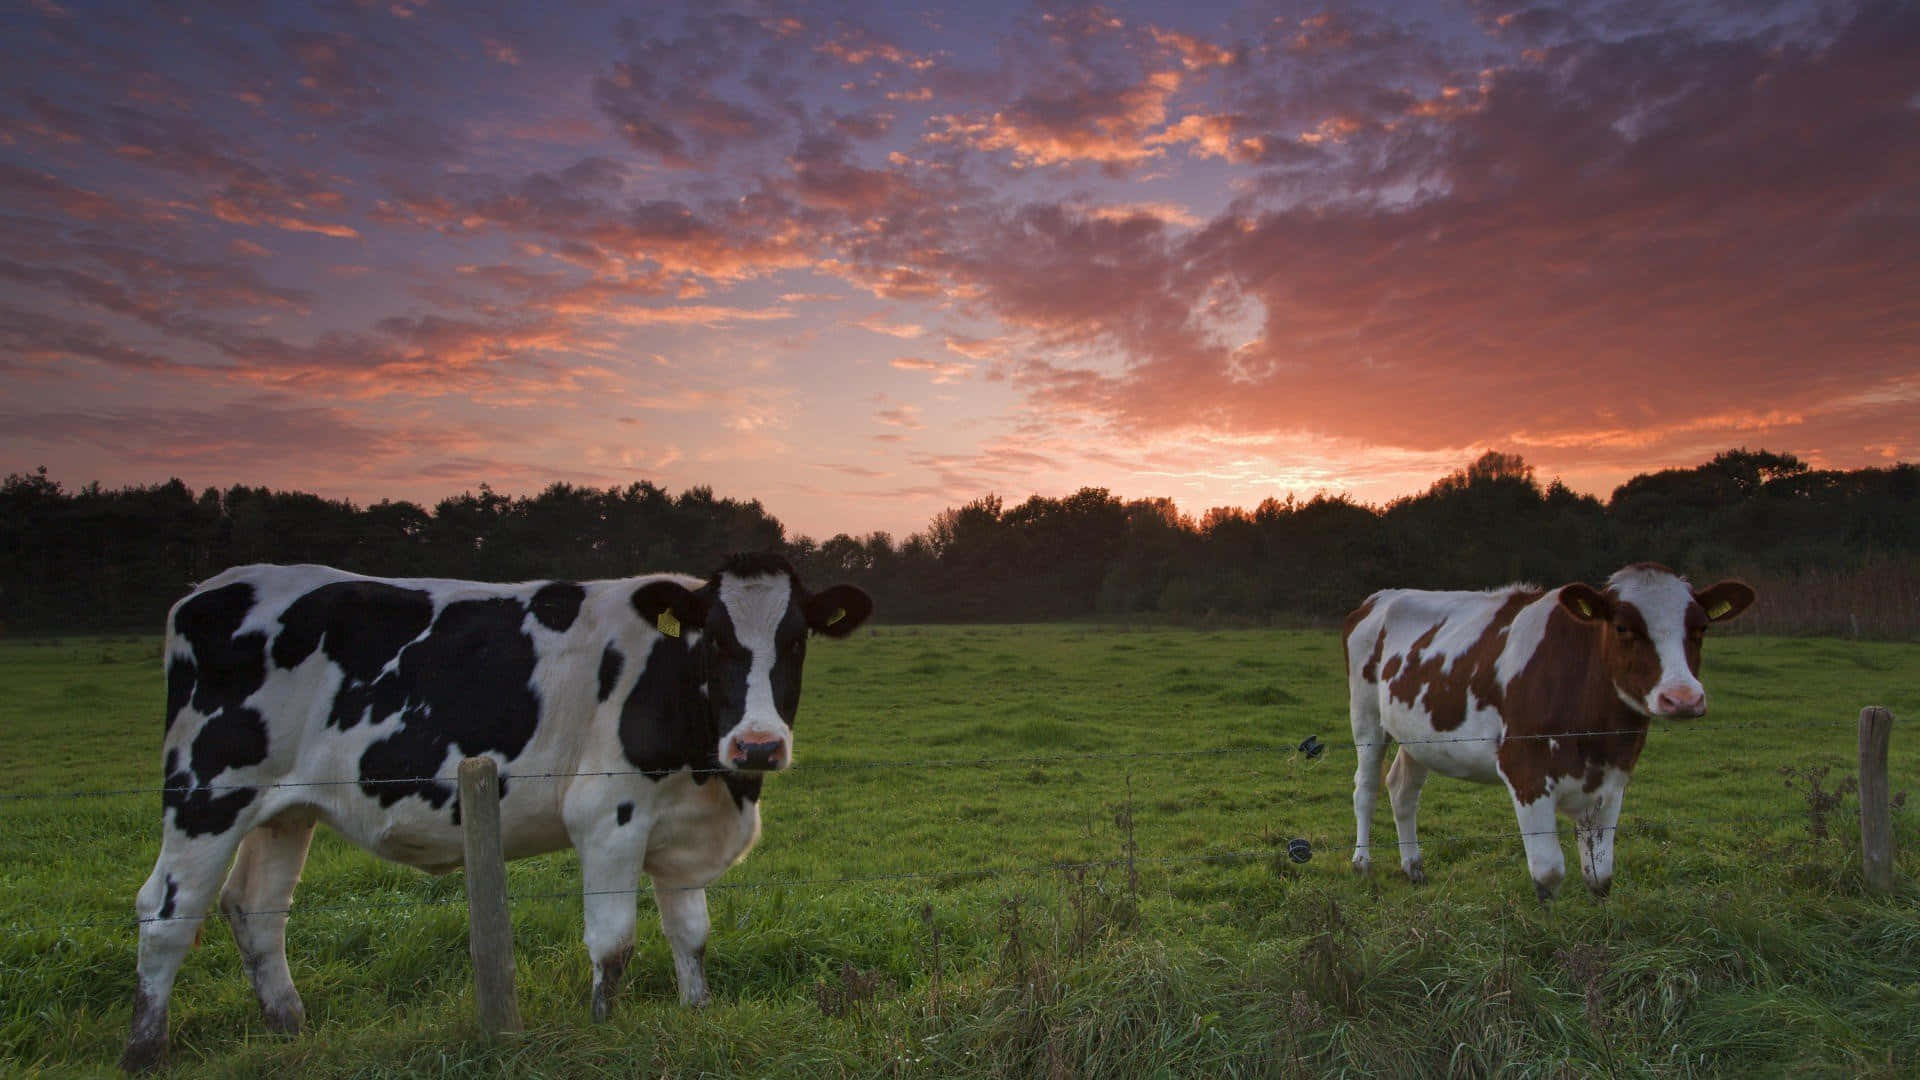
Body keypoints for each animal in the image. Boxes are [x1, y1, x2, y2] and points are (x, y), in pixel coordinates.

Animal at [121, 553, 871, 1072]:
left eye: (797, 640)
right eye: (715, 640)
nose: (758, 744)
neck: (713, 773)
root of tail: (208, 589)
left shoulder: (683, 829)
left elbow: (691, 935)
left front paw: (696, 1015)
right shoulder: (609, 816)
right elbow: (615, 944)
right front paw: (602, 1030)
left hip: (284, 809)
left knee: (255, 908)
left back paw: (289, 1030)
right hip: (207, 792)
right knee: (165, 911)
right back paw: (144, 1052)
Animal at [1343, 563, 1753, 900]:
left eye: (1700, 628)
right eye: (1622, 627)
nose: (1682, 697)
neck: (1596, 735)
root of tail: (1382, 597)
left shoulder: (1612, 780)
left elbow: (1600, 876)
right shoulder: (1525, 771)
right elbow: (1549, 873)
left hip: (1418, 734)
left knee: (1403, 791)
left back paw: (1413, 867)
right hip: (1366, 716)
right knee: (1366, 788)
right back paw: (1362, 863)